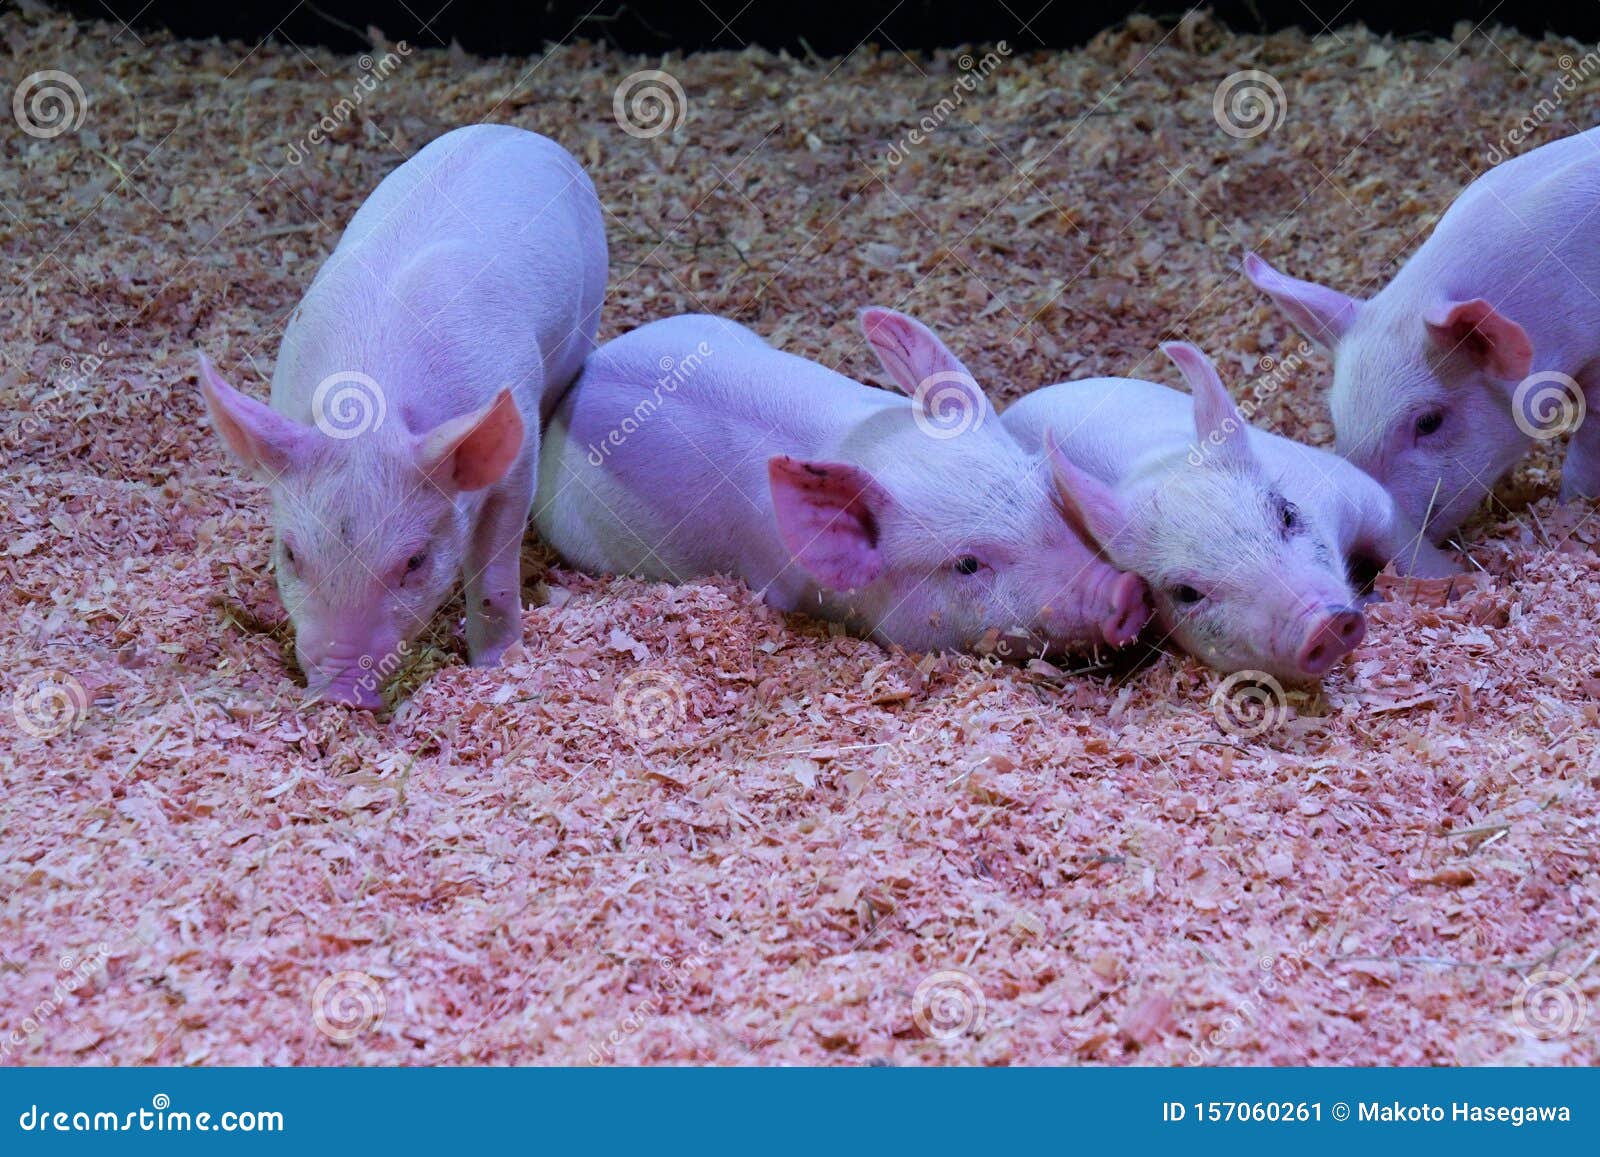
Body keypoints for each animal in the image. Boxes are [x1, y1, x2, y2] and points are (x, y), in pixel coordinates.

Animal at [197, 124, 607, 707]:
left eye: (414, 561)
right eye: (291, 554)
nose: (340, 694)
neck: (370, 413)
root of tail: (517, 132)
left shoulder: (517, 458)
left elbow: (494, 575)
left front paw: (495, 666)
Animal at [1001, 342, 1458, 682]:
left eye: (1287, 514)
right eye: (1186, 593)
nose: (1324, 625)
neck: (1151, 468)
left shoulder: (1351, 490)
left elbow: (1412, 550)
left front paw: (1462, 583)